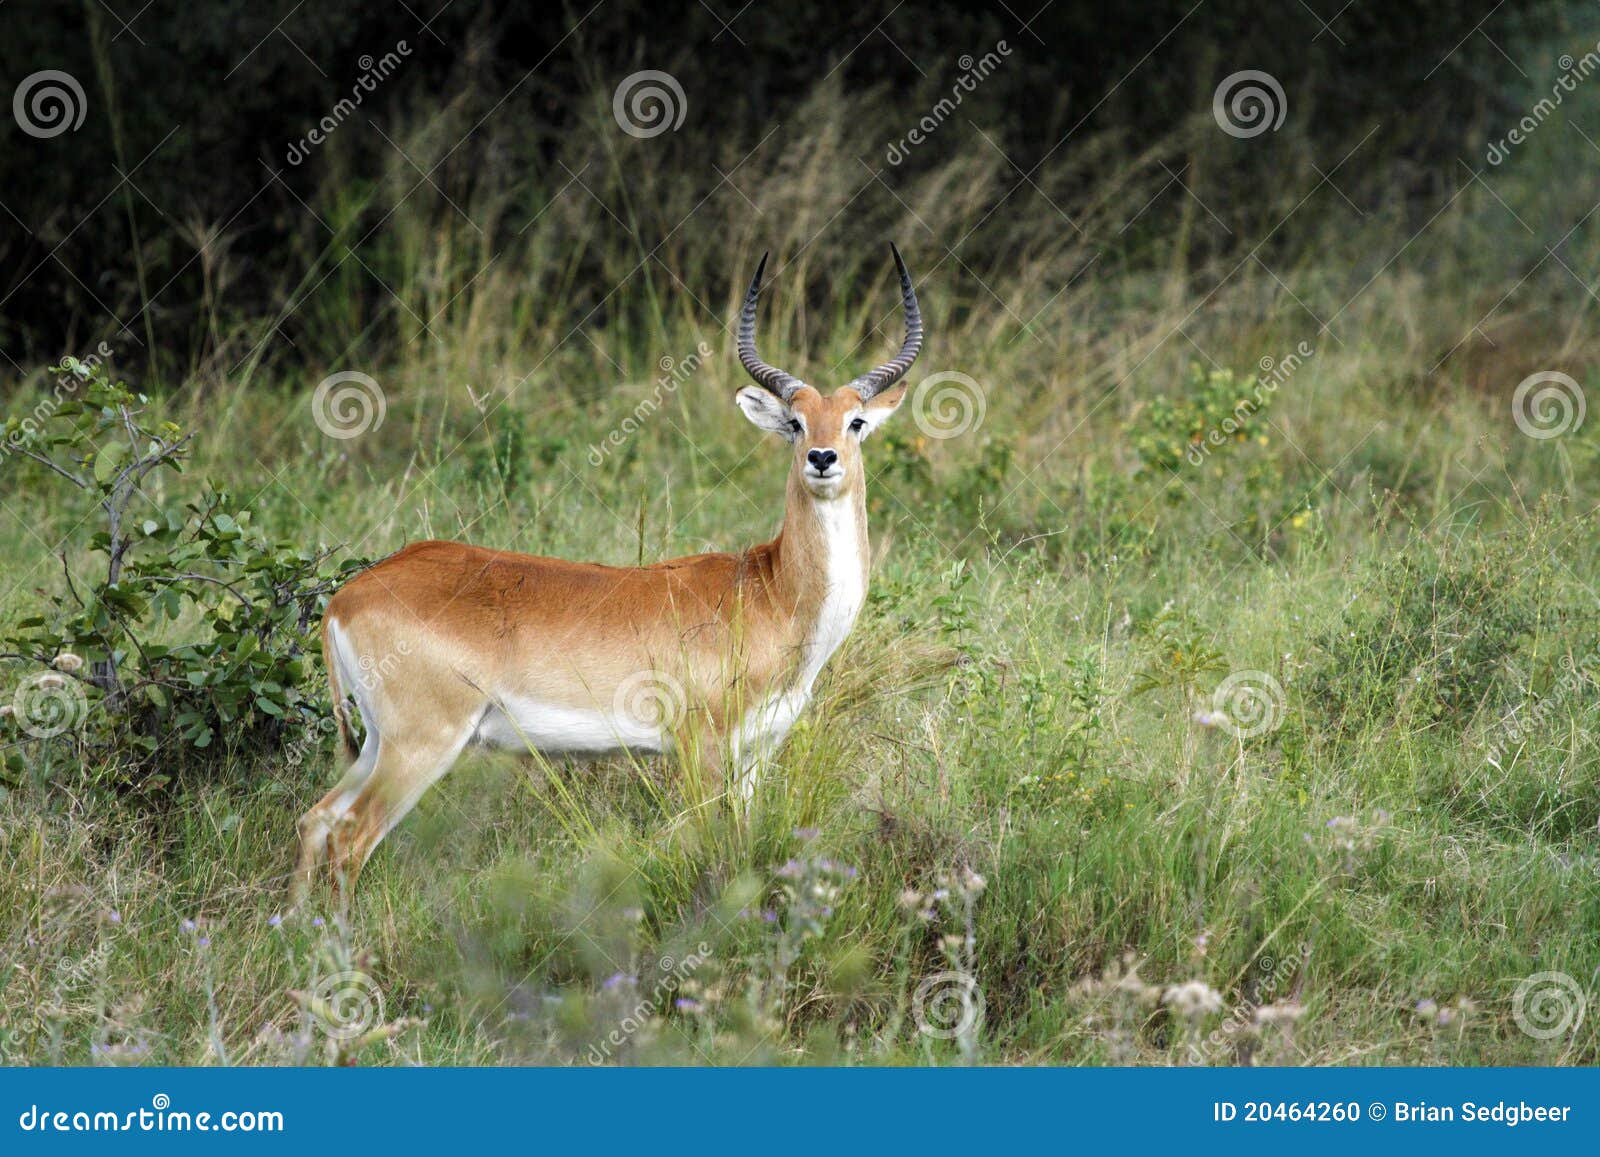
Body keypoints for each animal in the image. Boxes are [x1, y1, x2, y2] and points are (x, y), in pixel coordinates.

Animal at [290, 245, 924, 904]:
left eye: (855, 421)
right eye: (795, 422)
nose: (822, 459)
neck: (772, 592)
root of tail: (346, 597)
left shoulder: (756, 754)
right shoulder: (698, 747)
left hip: (375, 743)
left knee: (315, 821)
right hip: (421, 743)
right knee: (349, 839)